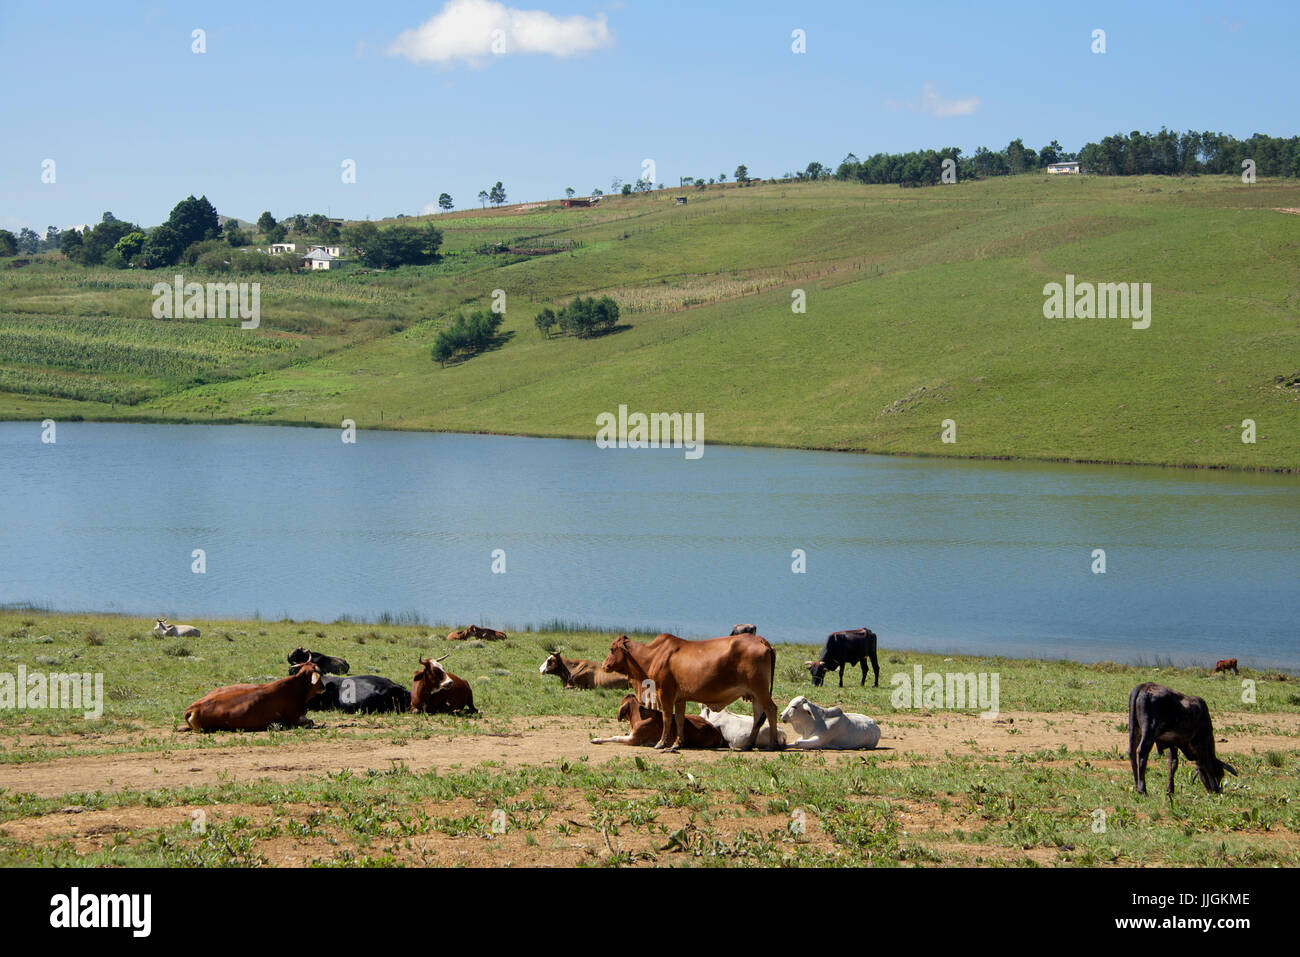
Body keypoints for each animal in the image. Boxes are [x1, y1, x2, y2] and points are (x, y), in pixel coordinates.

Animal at [180, 662, 325, 732]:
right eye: (320, 674)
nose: (324, 687)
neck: (297, 687)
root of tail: (193, 707)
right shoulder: (293, 719)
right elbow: (310, 722)